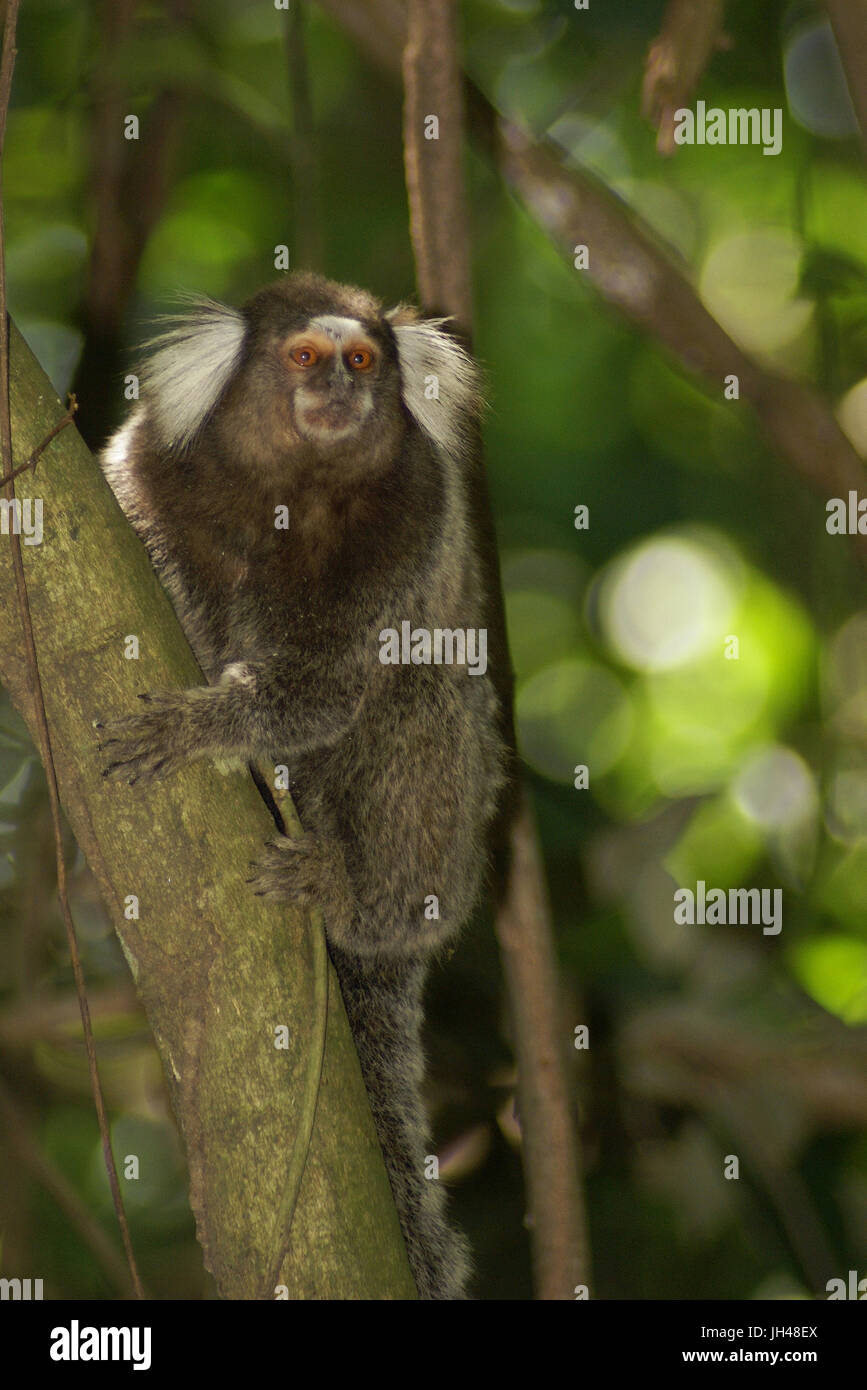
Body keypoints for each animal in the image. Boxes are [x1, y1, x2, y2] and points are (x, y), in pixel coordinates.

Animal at [95, 271, 507, 1300]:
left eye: (361, 359)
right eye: (305, 357)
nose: (340, 392)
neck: (291, 490)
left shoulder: (412, 513)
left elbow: (323, 687)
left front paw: (205, 724)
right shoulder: (154, 467)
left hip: (443, 861)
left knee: (423, 699)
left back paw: (345, 889)